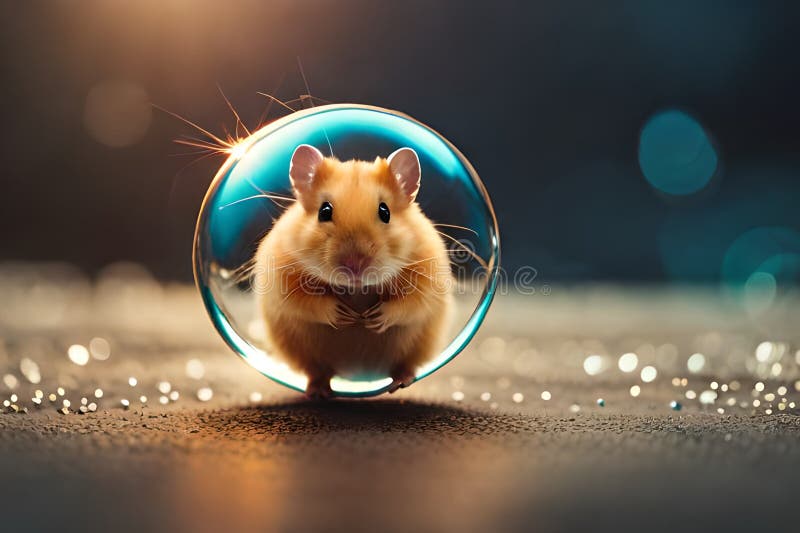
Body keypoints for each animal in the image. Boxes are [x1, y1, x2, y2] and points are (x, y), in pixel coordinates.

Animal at [253, 144, 453, 398]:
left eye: (385, 212)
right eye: (324, 211)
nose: (355, 263)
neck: (357, 290)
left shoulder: (428, 278)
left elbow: (409, 305)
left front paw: (372, 318)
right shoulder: (282, 278)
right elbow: (305, 302)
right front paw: (346, 316)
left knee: (405, 366)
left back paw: (400, 382)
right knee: (319, 373)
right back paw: (319, 391)